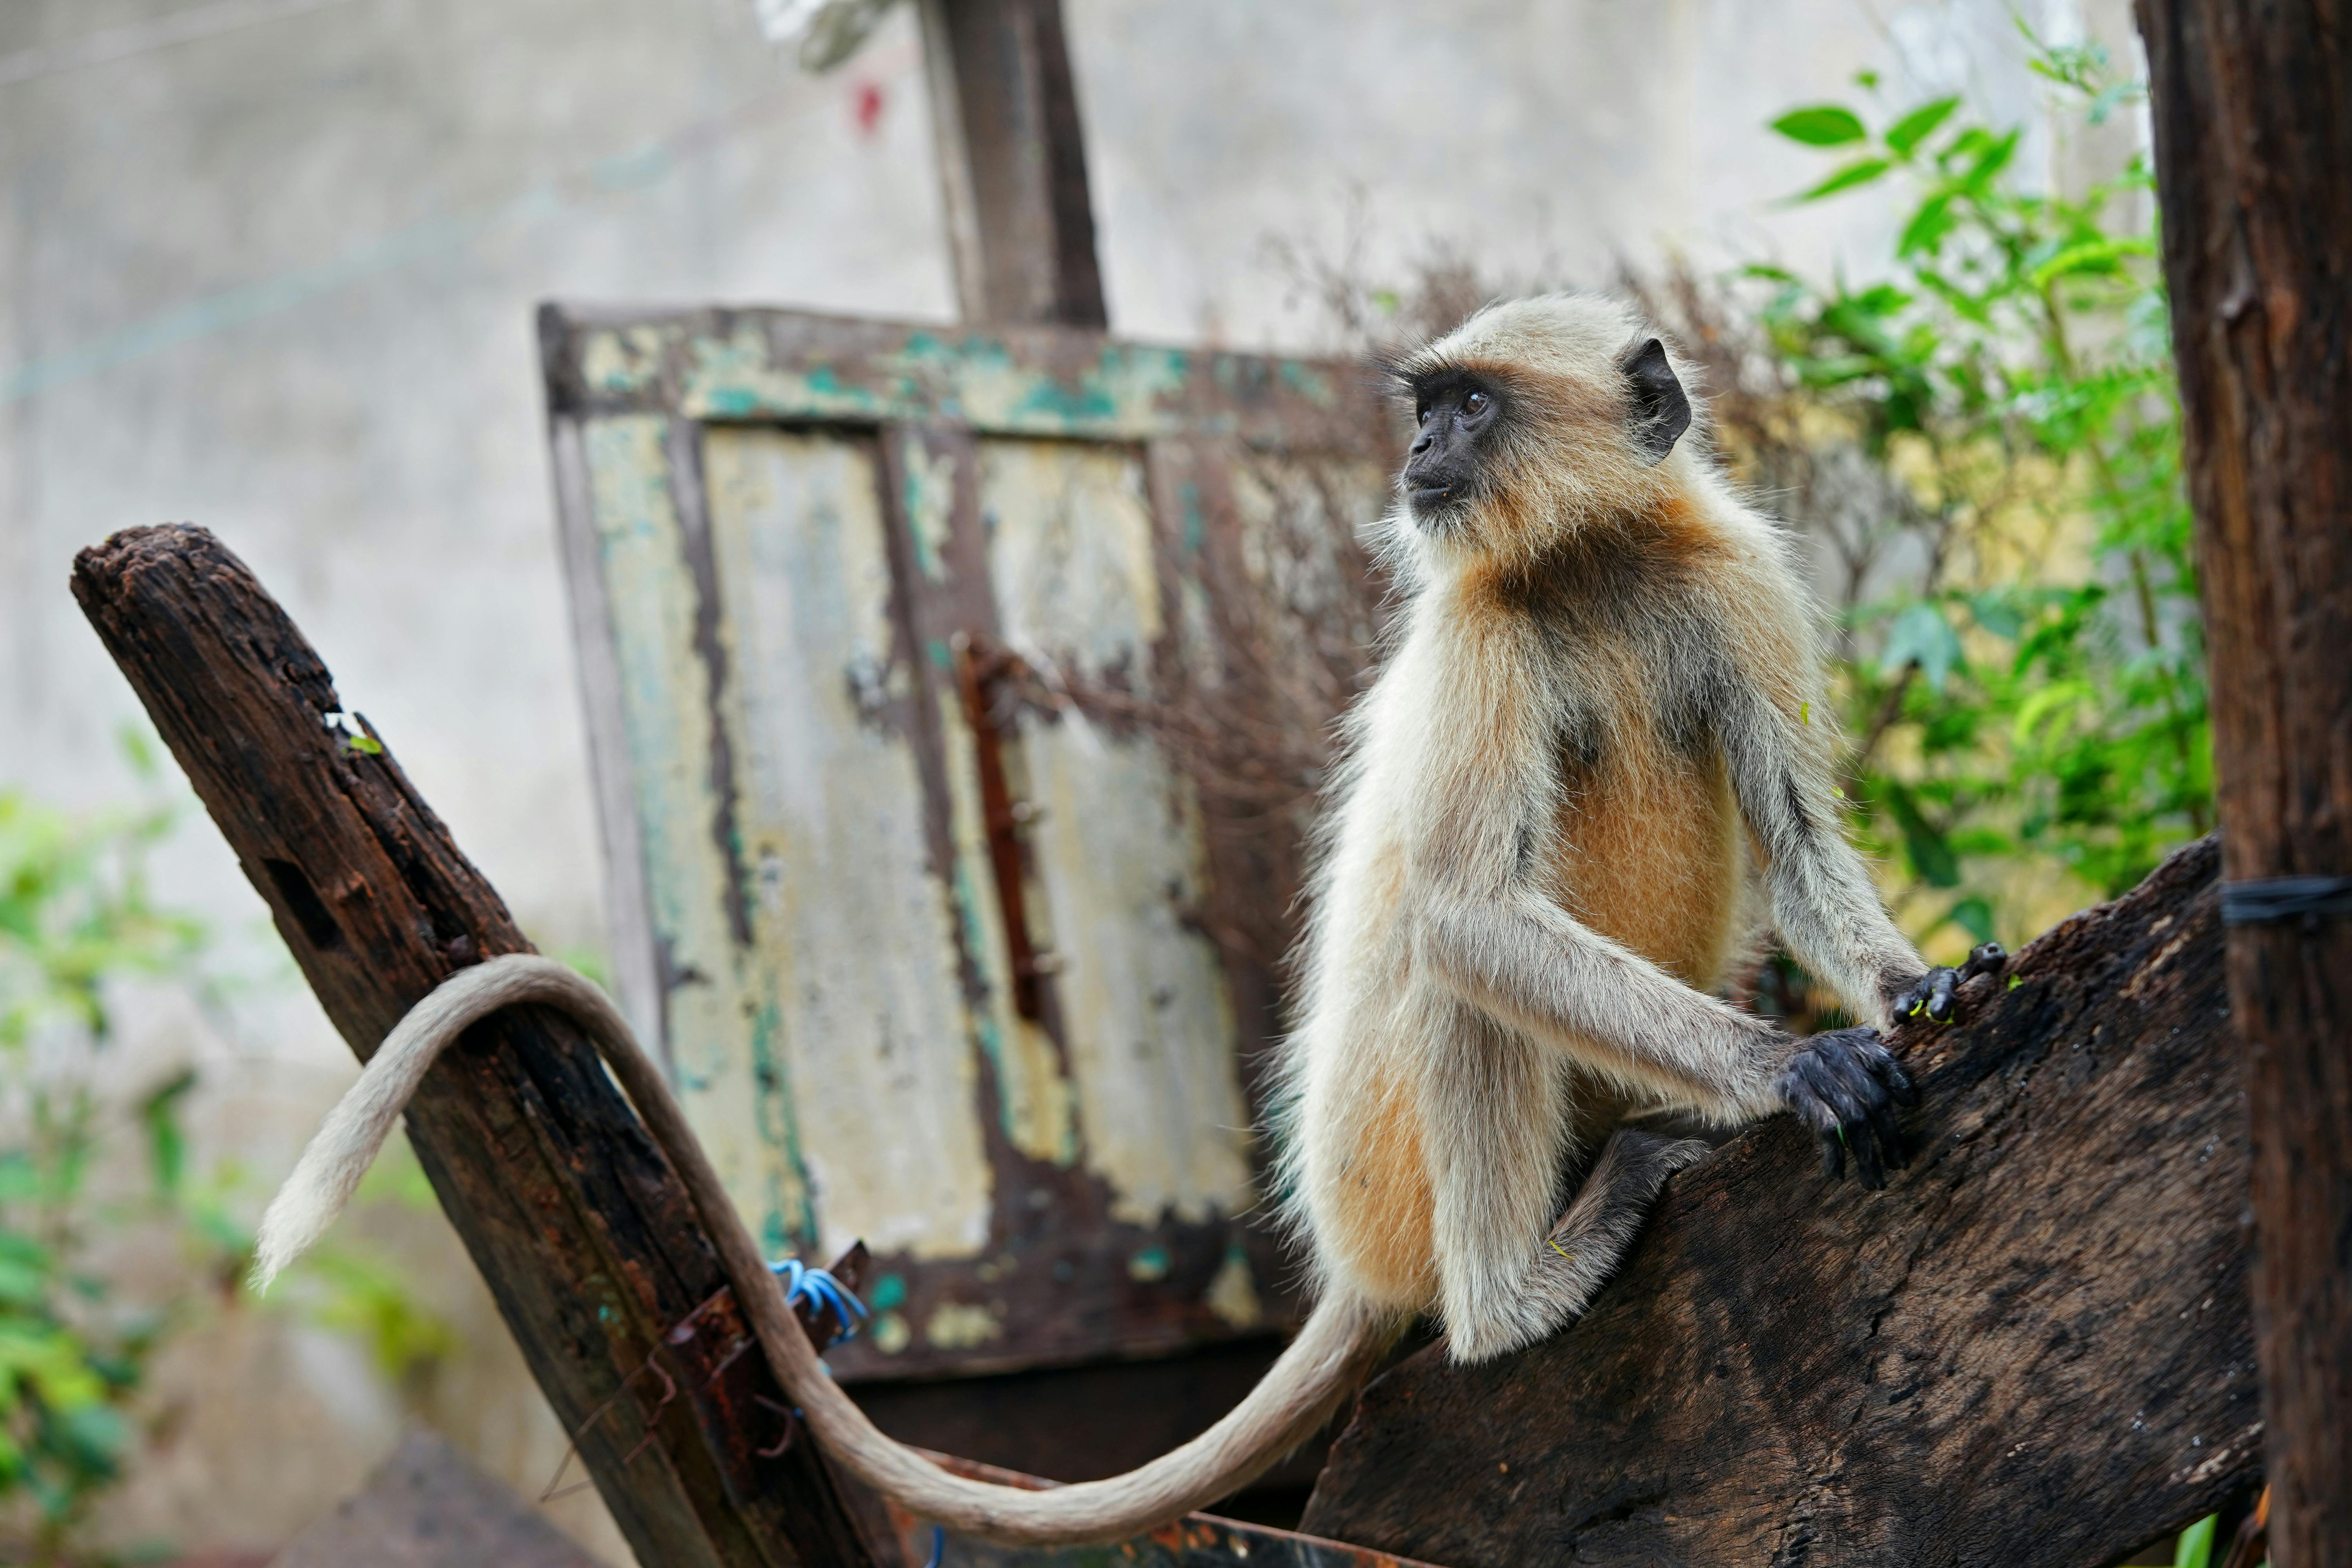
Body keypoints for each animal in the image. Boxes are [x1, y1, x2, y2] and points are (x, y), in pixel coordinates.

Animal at [252, 291, 1989, 1547]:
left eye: (1471, 406)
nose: (1419, 459)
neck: (1592, 563)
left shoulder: (1728, 577)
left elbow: (1797, 834)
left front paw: (1914, 990)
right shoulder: (1482, 633)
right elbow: (1462, 921)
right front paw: (1788, 1069)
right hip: (1388, 1176)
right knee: (1452, 969)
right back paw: (1512, 1306)